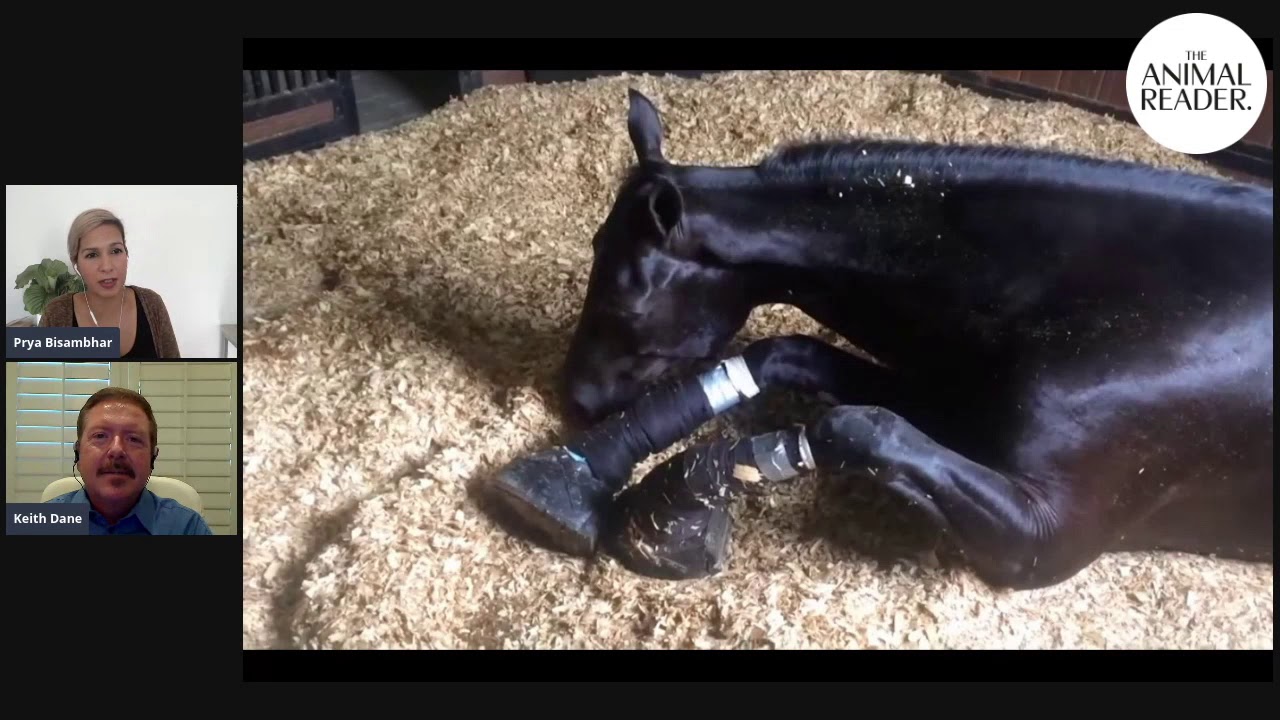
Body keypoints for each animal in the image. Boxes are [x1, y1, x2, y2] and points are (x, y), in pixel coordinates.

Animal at [556, 88, 1273, 590]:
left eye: (627, 292)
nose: (575, 399)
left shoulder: (1048, 534)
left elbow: (856, 426)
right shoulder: (953, 398)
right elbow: (791, 355)